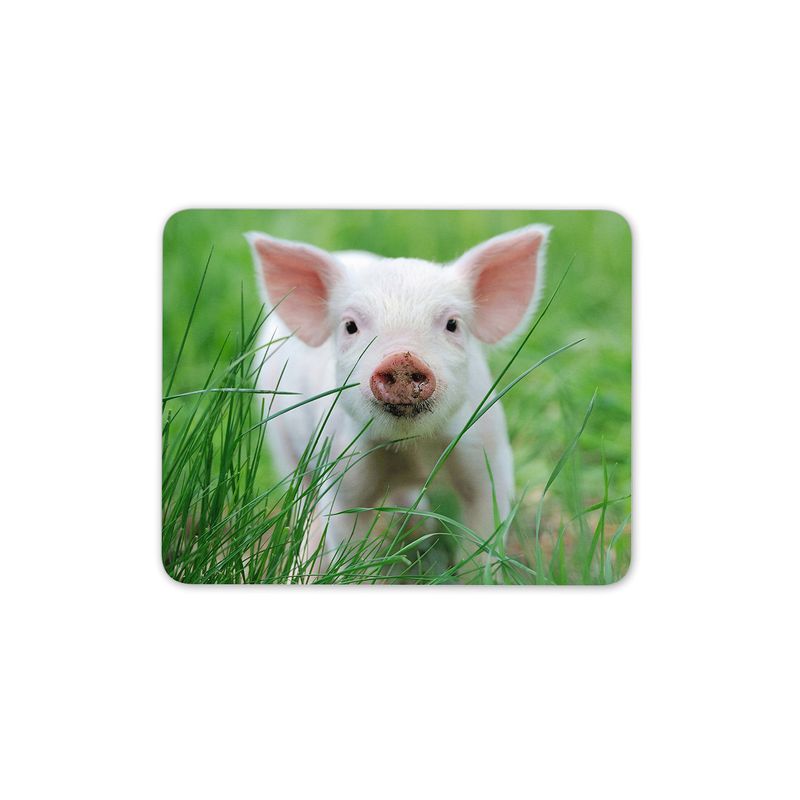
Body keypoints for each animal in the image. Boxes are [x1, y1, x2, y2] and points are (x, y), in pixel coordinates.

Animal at [245, 224, 551, 577]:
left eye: (453, 324)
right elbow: (346, 540)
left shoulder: (489, 455)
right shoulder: (340, 470)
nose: (402, 360)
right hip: (281, 440)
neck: (411, 449)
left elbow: (483, 536)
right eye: (350, 326)